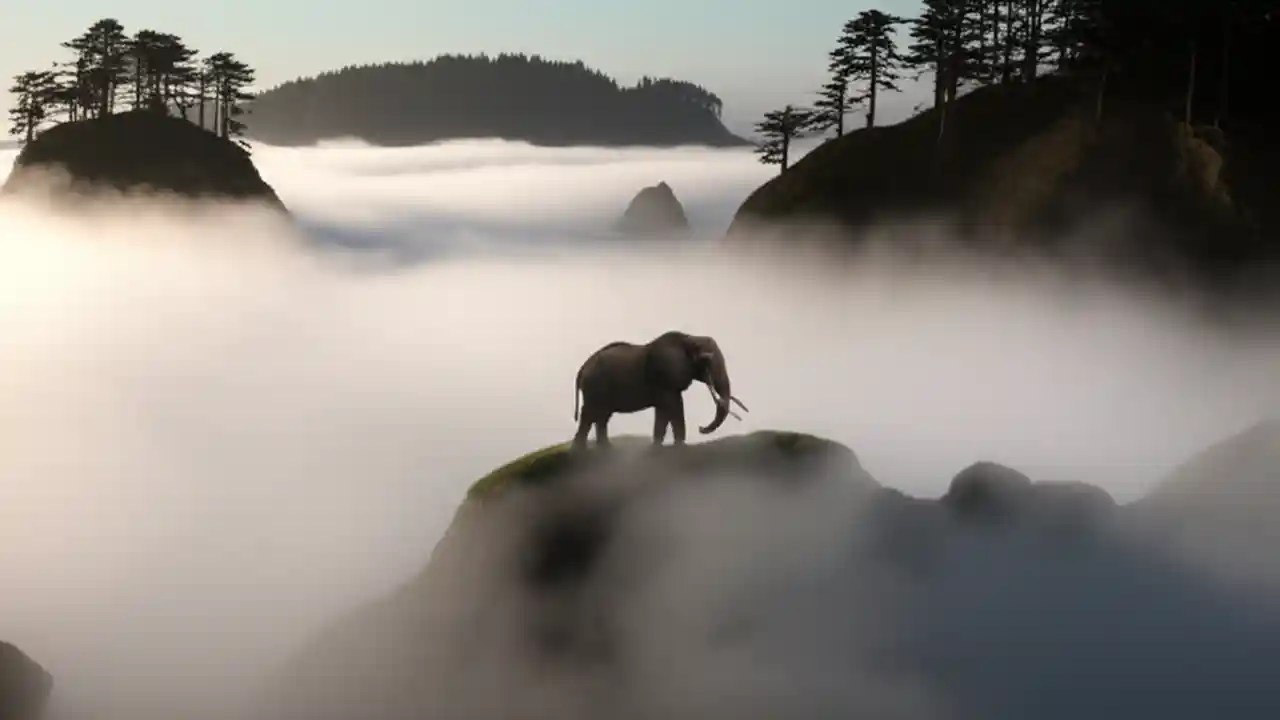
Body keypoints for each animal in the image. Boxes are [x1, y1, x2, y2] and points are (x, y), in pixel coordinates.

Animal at [572, 331, 748, 449]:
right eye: (708, 363)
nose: (700, 428)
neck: (690, 338)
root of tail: (582, 368)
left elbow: (665, 410)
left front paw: (659, 446)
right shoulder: (666, 375)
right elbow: (674, 405)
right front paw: (679, 446)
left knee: (602, 417)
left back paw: (606, 449)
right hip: (595, 386)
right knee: (591, 414)